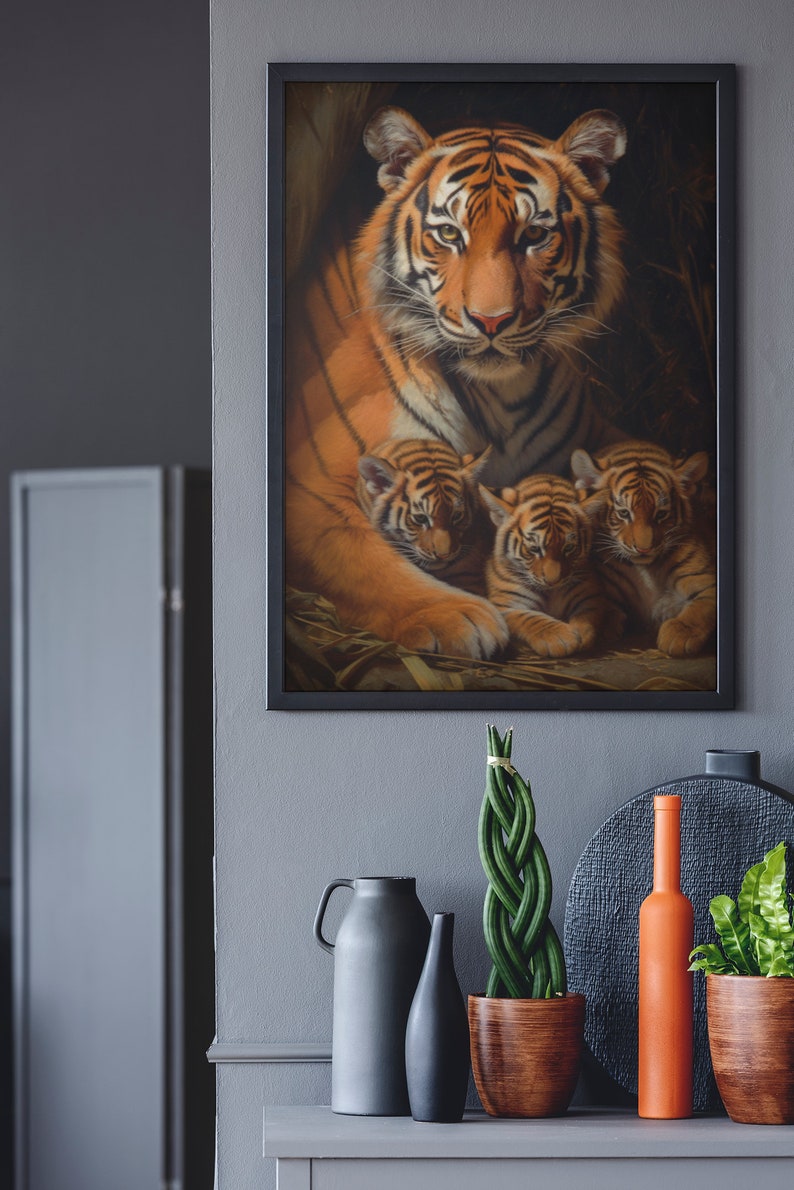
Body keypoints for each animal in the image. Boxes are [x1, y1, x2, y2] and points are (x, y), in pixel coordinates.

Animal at [479, 475, 618, 657]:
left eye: (569, 548)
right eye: (534, 548)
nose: (553, 581)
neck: (550, 592)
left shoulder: (590, 593)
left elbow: (587, 614)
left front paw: (581, 634)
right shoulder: (506, 605)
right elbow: (528, 618)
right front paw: (562, 638)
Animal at [571, 440, 717, 657]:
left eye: (661, 514)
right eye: (624, 513)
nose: (644, 549)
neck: (646, 569)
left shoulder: (706, 583)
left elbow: (701, 608)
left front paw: (680, 634)